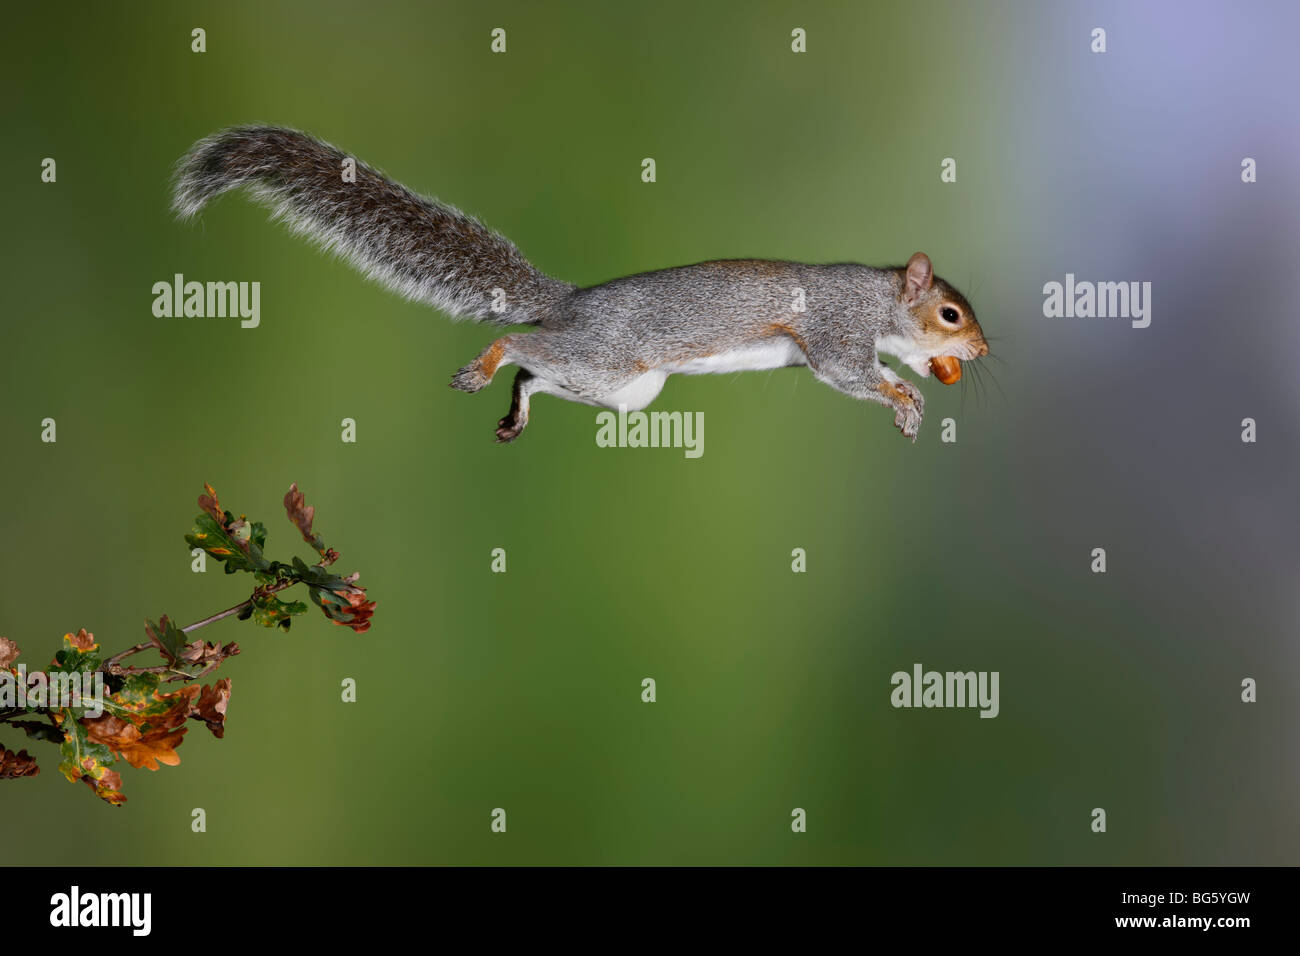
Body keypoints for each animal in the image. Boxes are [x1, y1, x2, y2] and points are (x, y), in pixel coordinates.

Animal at [172, 126, 989, 442]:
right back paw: (485, 366)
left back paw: (516, 410)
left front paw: (910, 402)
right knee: (520, 344)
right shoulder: (835, 330)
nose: (981, 351)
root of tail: (570, 304)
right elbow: (850, 372)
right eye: (951, 314)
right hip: (609, 360)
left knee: (538, 371)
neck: (880, 298)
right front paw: (904, 396)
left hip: (623, 390)